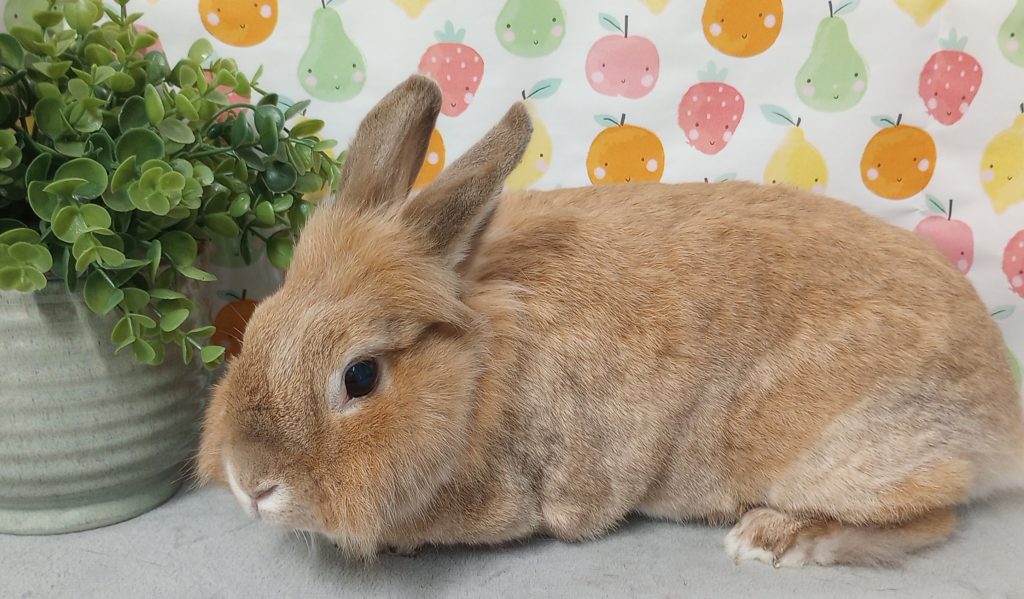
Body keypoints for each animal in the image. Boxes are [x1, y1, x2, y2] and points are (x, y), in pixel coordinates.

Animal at [196, 75, 1024, 567]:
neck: (479, 364)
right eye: (258, 326)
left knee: (933, 514)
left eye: (361, 375)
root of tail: (1002, 419)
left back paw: (776, 537)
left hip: (841, 451)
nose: (250, 484)